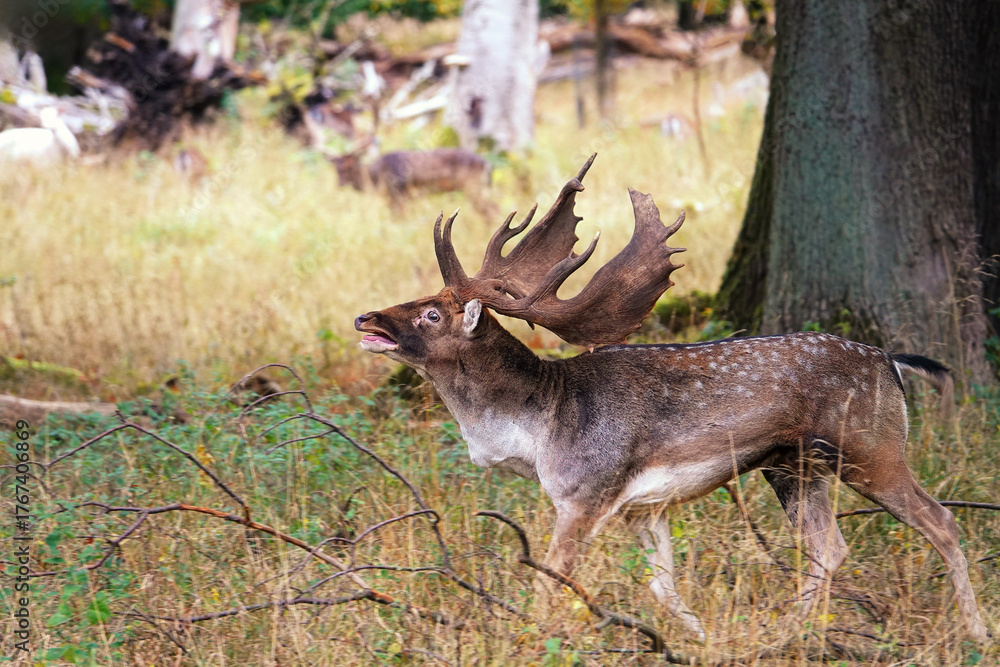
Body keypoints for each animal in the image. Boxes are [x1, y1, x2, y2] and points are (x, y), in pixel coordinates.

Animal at [354, 155, 991, 643]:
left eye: (433, 313)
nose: (366, 317)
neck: (540, 427)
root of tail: (892, 361)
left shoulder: (585, 493)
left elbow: (550, 582)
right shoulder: (644, 508)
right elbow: (664, 587)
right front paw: (700, 640)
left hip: (870, 447)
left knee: (941, 521)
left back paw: (977, 632)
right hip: (793, 466)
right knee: (829, 549)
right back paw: (788, 633)